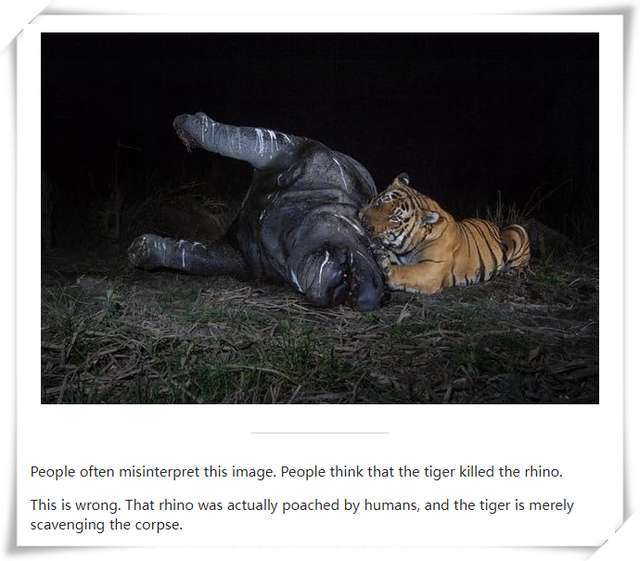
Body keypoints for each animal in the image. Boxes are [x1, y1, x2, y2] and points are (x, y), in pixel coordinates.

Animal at [359, 173, 530, 294]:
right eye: (380, 202)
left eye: (395, 218)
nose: (365, 224)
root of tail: (494, 225)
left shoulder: (431, 268)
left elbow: (404, 271)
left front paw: (384, 264)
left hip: (516, 229)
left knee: (519, 267)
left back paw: (505, 272)